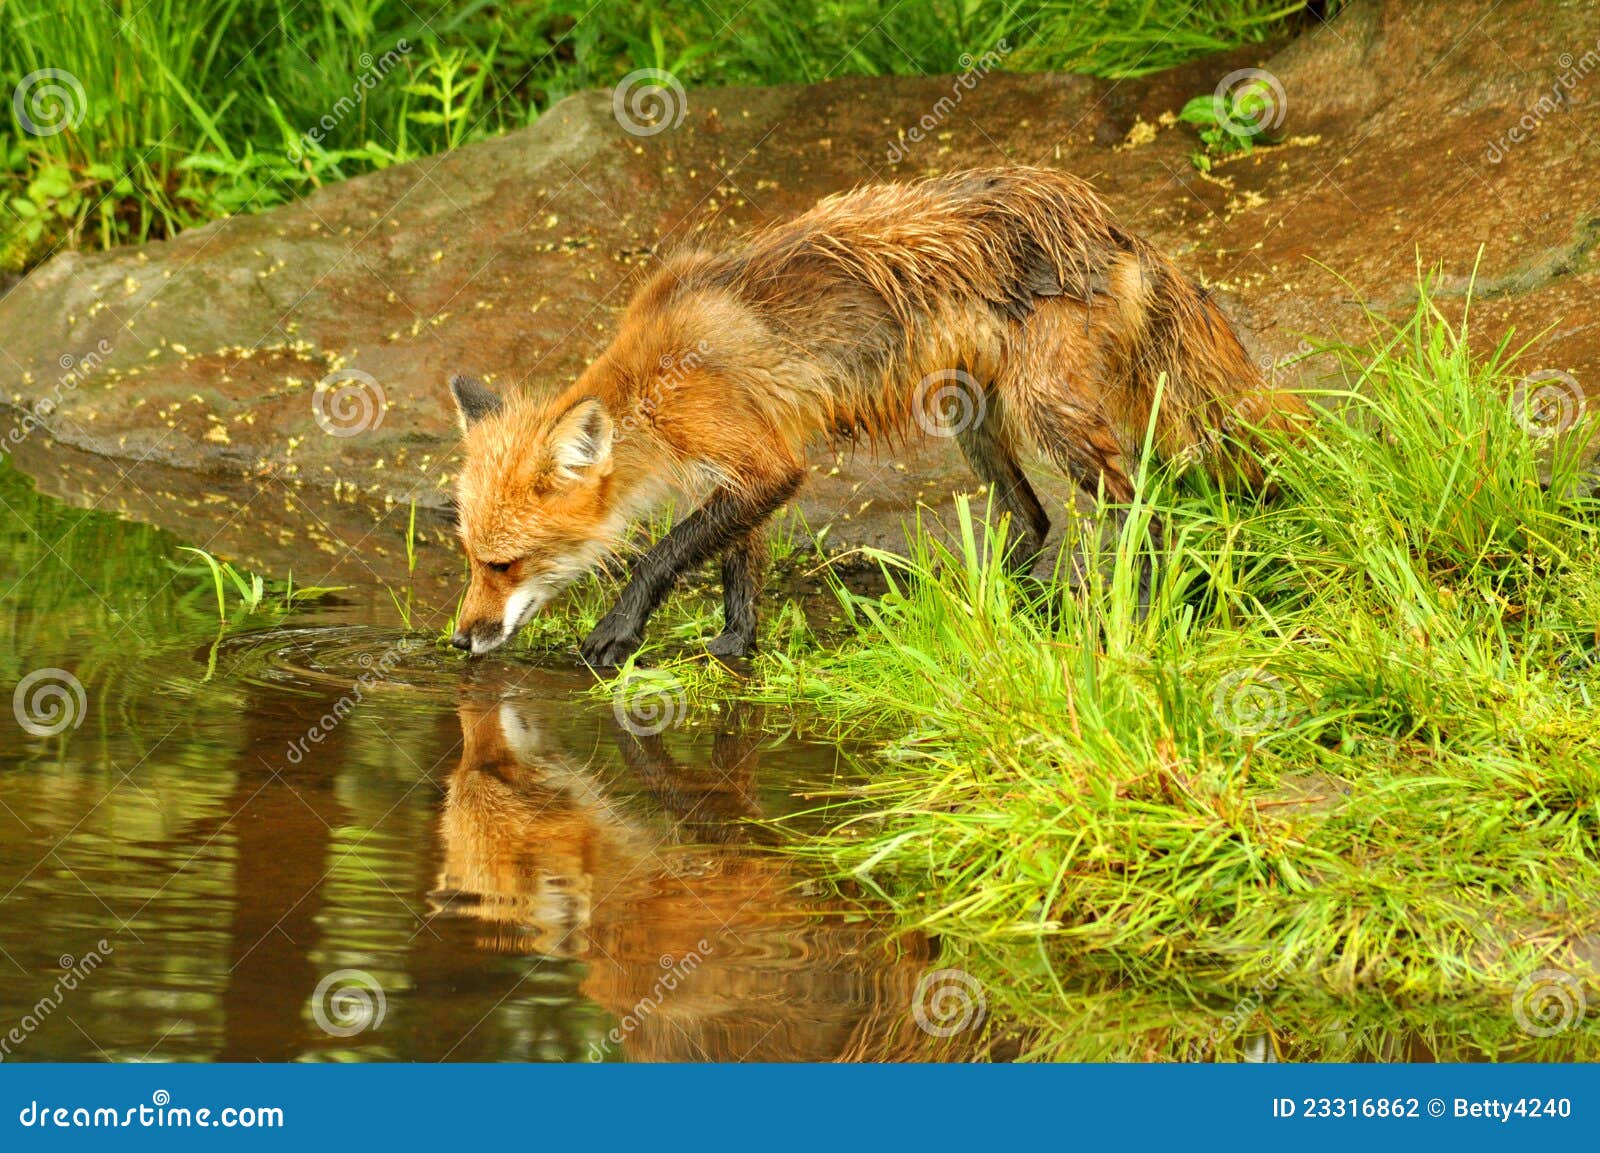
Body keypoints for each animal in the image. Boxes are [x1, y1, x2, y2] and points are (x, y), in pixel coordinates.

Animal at [446, 165, 1306, 662]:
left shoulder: (763, 460)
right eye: (471, 559)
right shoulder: (753, 460)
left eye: (505, 564)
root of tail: (1104, 217)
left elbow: (664, 553)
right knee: (1033, 517)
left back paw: (1144, 598)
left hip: (1047, 412)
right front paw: (733, 643)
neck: (658, 376)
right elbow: (736, 564)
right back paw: (994, 610)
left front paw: (617, 633)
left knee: (1141, 503)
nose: (459, 638)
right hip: (973, 418)